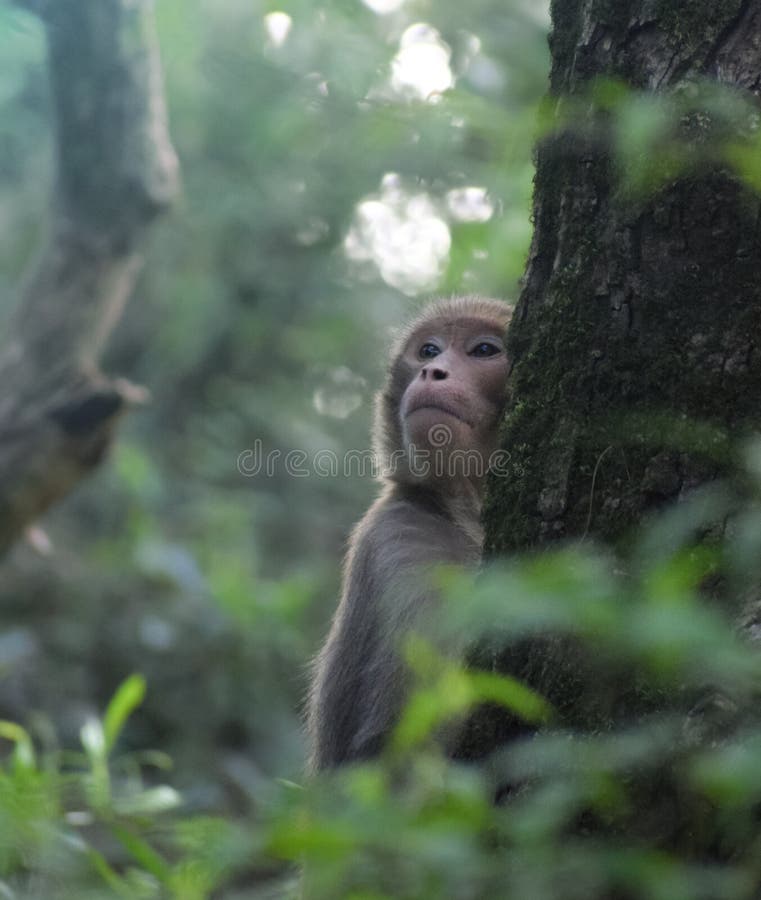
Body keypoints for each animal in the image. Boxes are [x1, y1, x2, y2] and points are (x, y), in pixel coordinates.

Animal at [307, 296, 512, 771]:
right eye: (429, 351)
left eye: (484, 351)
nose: (432, 372)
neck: (467, 513)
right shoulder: (398, 540)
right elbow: (392, 745)